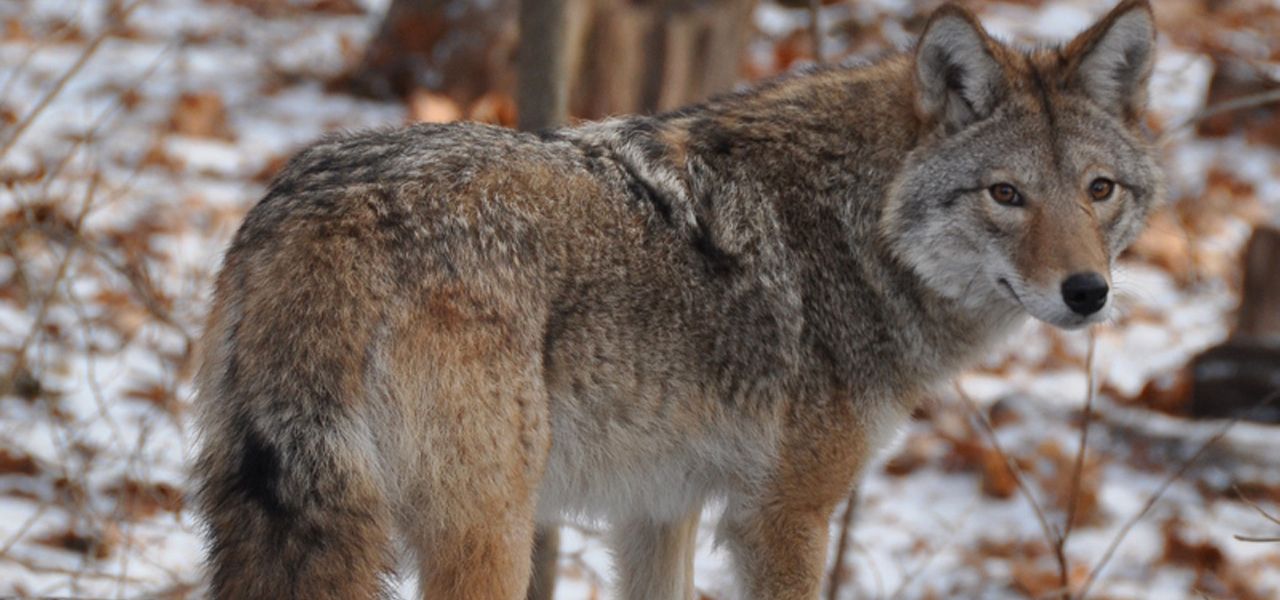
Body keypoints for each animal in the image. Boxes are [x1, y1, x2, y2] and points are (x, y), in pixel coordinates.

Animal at [193, 1, 1161, 598]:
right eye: (1007, 195)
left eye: (1099, 190)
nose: (1087, 293)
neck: (850, 229)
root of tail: (329, 208)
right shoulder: (784, 518)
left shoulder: (659, 510)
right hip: (491, 533)